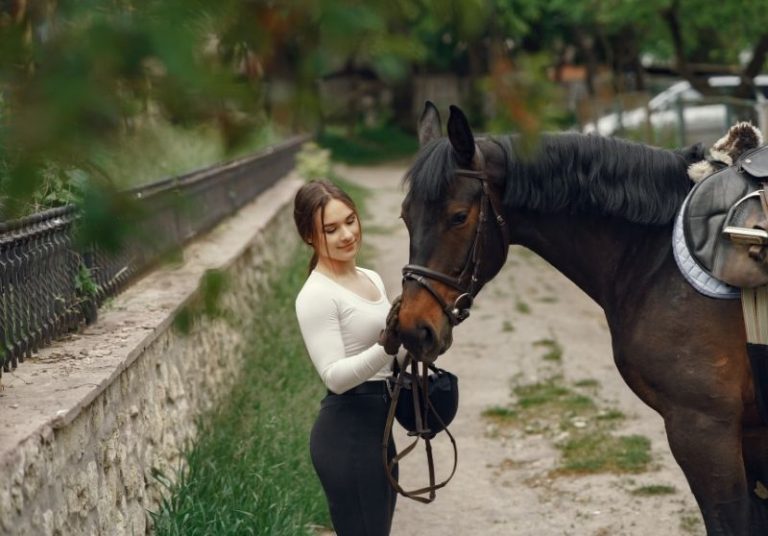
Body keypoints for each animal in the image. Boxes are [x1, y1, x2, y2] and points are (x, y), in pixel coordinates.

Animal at [395, 101, 768, 535]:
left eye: (458, 217)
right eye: (405, 216)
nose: (413, 328)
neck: (658, 258)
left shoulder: (704, 428)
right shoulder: (749, 431)